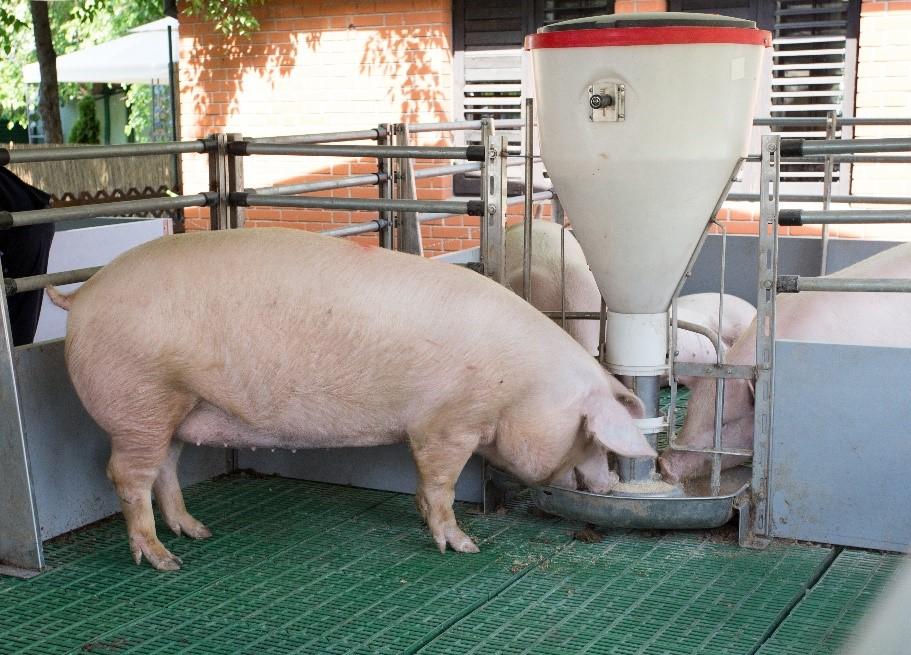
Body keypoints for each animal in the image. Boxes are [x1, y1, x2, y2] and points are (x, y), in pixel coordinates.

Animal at [47, 227, 654, 571]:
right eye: (590, 437)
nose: (609, 486)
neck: (522, 384)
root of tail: (83, 294)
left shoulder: (431, 430)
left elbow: (423, 485)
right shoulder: (447, 425)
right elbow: (441, 485)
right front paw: (464, 546)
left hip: (174, 407)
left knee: (165, 471)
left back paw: (197, 532)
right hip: (139, 400)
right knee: (126, 476)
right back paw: (163, 562)